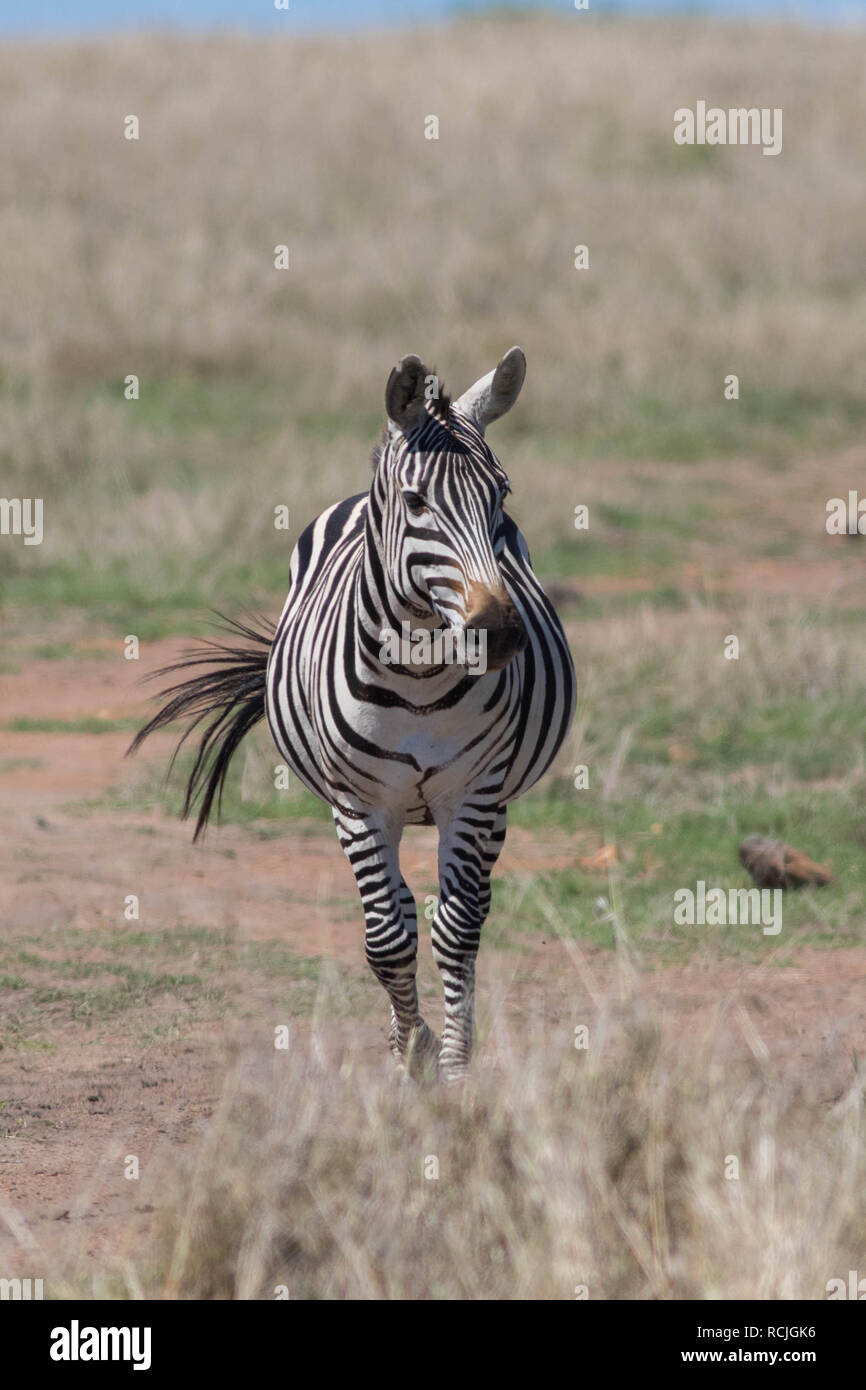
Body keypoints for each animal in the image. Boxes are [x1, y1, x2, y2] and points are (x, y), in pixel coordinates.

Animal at [131, 348, 576, 1082]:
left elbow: (456, 931)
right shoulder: (358, 802)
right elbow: (387, 939)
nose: (498, 634)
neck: (420, 675)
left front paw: (455, 1069)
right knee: (397, 913)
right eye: (417, 502)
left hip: (491, 802)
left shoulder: (472, 792)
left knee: (466, 909)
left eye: (502, 497)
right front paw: (414, 1049)